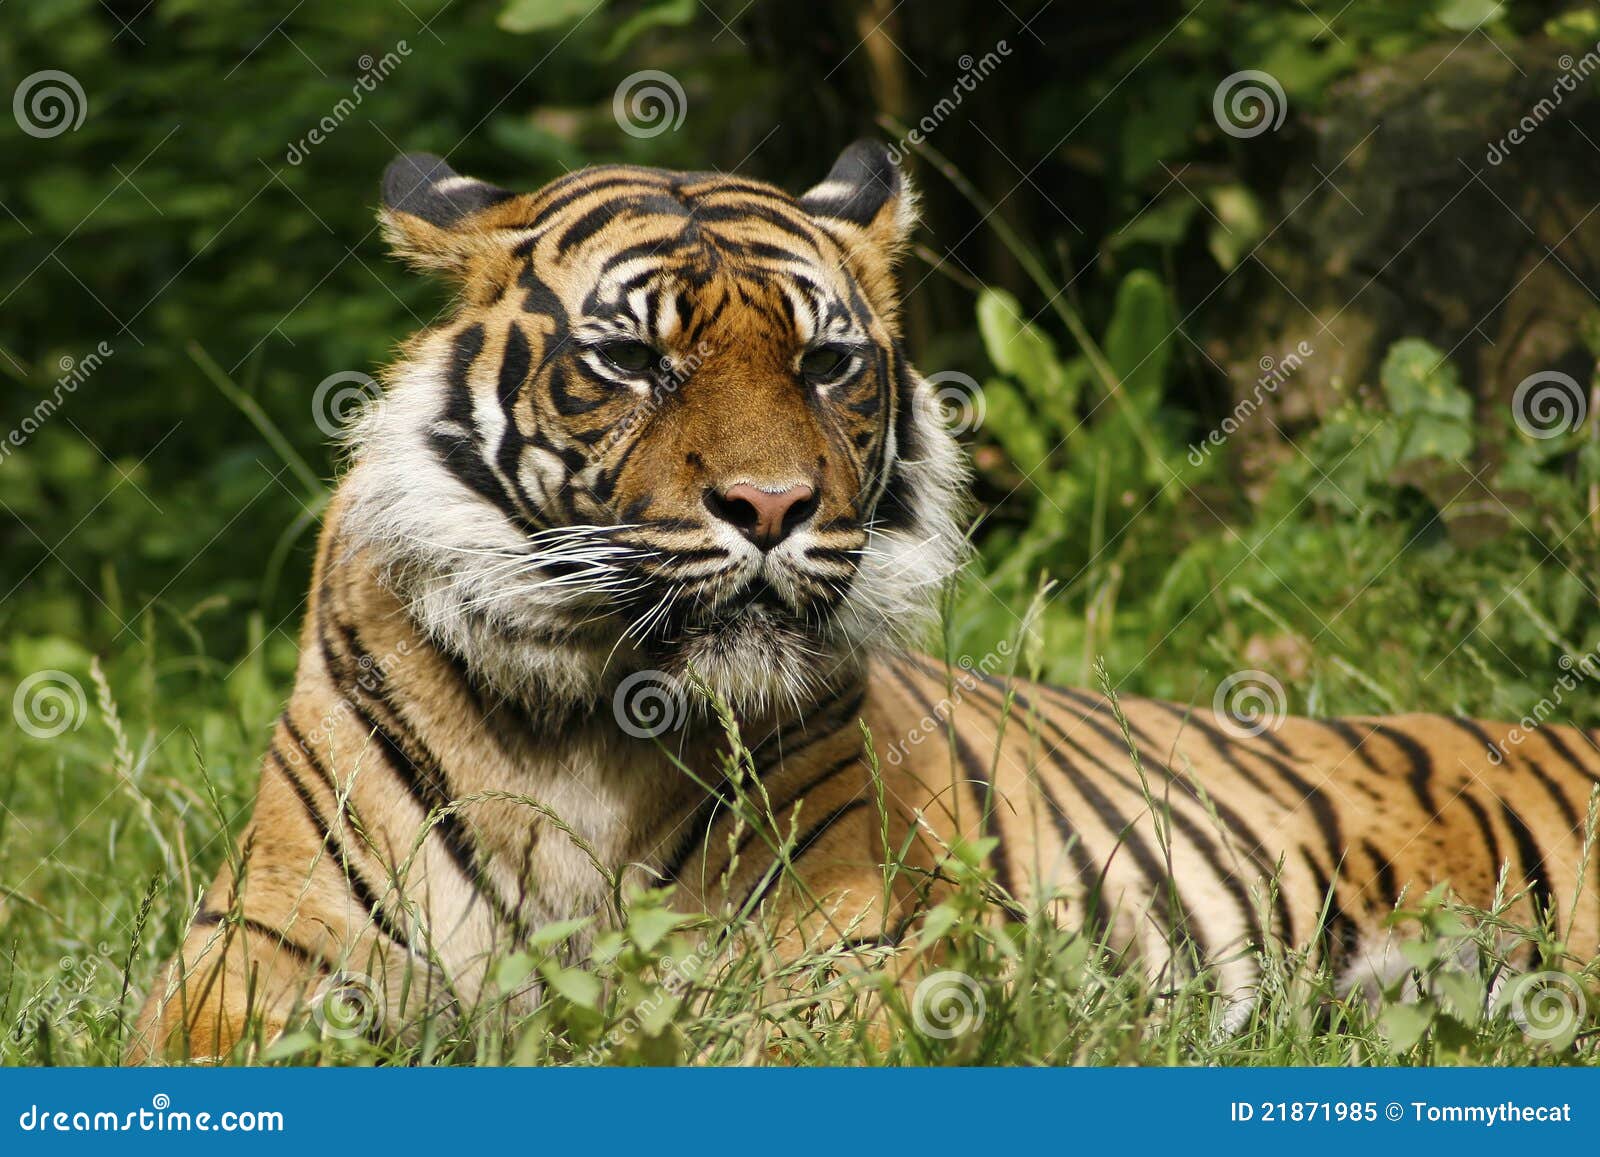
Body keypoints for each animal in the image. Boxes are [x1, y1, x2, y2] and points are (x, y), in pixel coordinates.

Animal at [132, 140, 1600, 1062]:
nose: (772, 505)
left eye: (827, 362)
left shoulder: (856, 948)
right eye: (633, 361)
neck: (581, 722)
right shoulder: (262, 941)